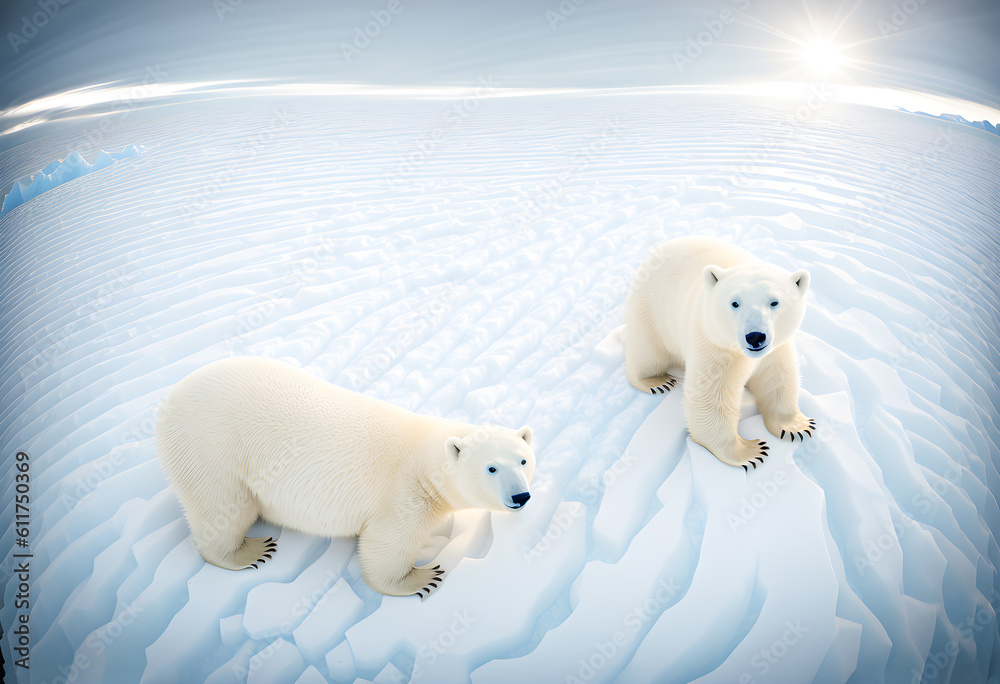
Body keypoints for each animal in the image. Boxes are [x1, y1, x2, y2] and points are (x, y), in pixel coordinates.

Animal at [155, 356, 535, 597]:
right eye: (492, 468)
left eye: (523, 461)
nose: (521, 497)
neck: (426, 457)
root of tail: (170, 399)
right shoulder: (403, 494)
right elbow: (386, 546)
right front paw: (422, 578)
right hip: (213, 449)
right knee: (222, 505)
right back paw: (250, 551)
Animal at [624, 236, 814, 470]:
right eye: (735, 303)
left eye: (774, 302)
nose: (755, 336)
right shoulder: (712, 341)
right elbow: (710, 397)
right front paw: (749, 451)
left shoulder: (776, 348)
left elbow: (778, 377)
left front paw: (795, 426)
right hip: (651, 310)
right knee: (647, 350)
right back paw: (656, 381)